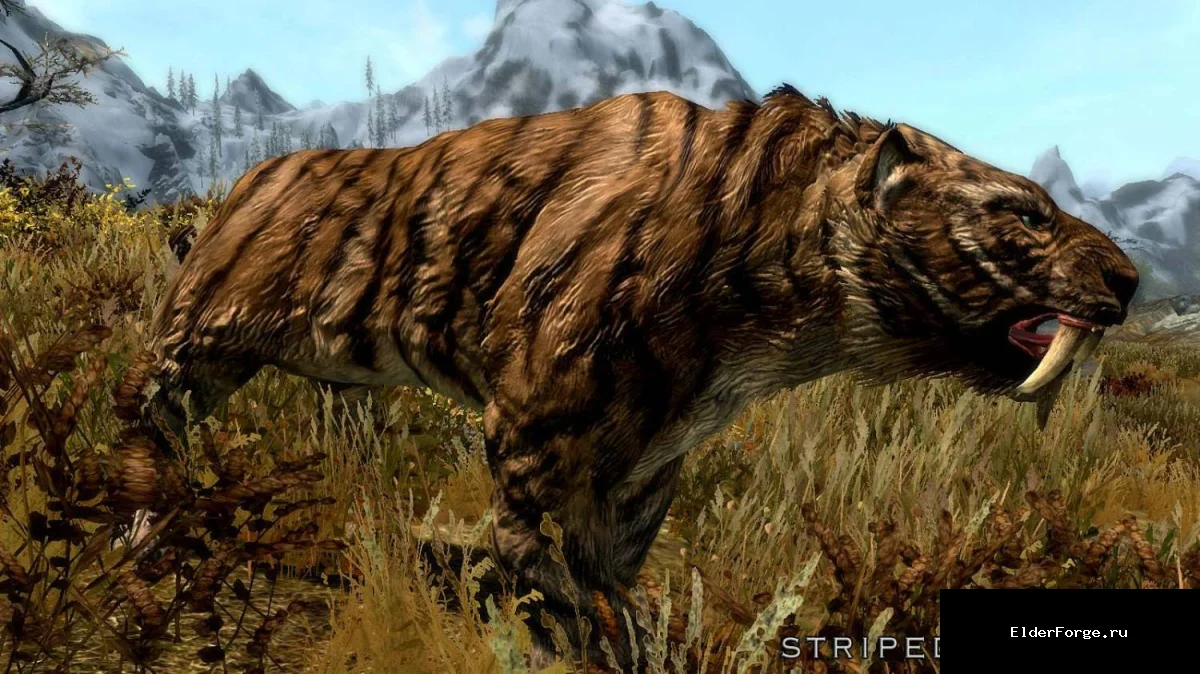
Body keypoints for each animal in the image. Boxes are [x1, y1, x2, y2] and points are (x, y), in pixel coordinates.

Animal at [146, 84, 1138, 667]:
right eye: (1025, 213)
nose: (1128, 278)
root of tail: (239, 186)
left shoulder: (647, 451)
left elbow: (610, 560)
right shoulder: (541, 416)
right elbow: (538, 554)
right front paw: (577, 624)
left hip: (340, 377)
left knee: (345, 443)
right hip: (197, 341)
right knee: (149, 413)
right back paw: (144, 516)